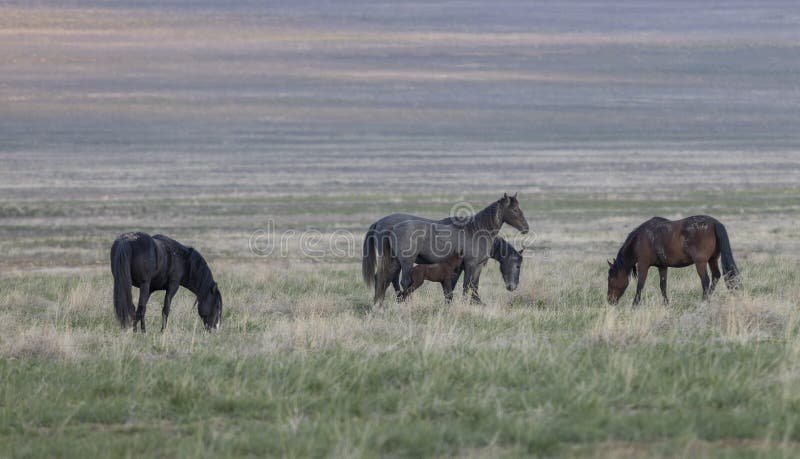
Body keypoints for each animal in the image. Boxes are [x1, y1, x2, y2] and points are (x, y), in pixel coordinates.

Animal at [365, 193, 529, 306]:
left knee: (383, 278)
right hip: (406, 262)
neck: (476, 231)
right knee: (402, 282)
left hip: (394, 261)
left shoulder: (475, 266)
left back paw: (380, 303)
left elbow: (470, 285)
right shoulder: (469, 265)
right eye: (515, 210)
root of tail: (390, 227)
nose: (526, 228)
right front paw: (463, 303)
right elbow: (466, 285)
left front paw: (475, 303)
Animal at [607, 215, 740, 306]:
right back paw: (708, 300)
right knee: (716, 276)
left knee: (705, 281)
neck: (640, 240)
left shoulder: (643, 264)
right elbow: (663, 285)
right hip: (712, 259)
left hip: (701, 263)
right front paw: (666, 304)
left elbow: (640, 285)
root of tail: (714, 223)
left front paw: (635, 304)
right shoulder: (662, 266)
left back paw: (703, 302)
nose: (610, 301)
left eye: (611, 279)